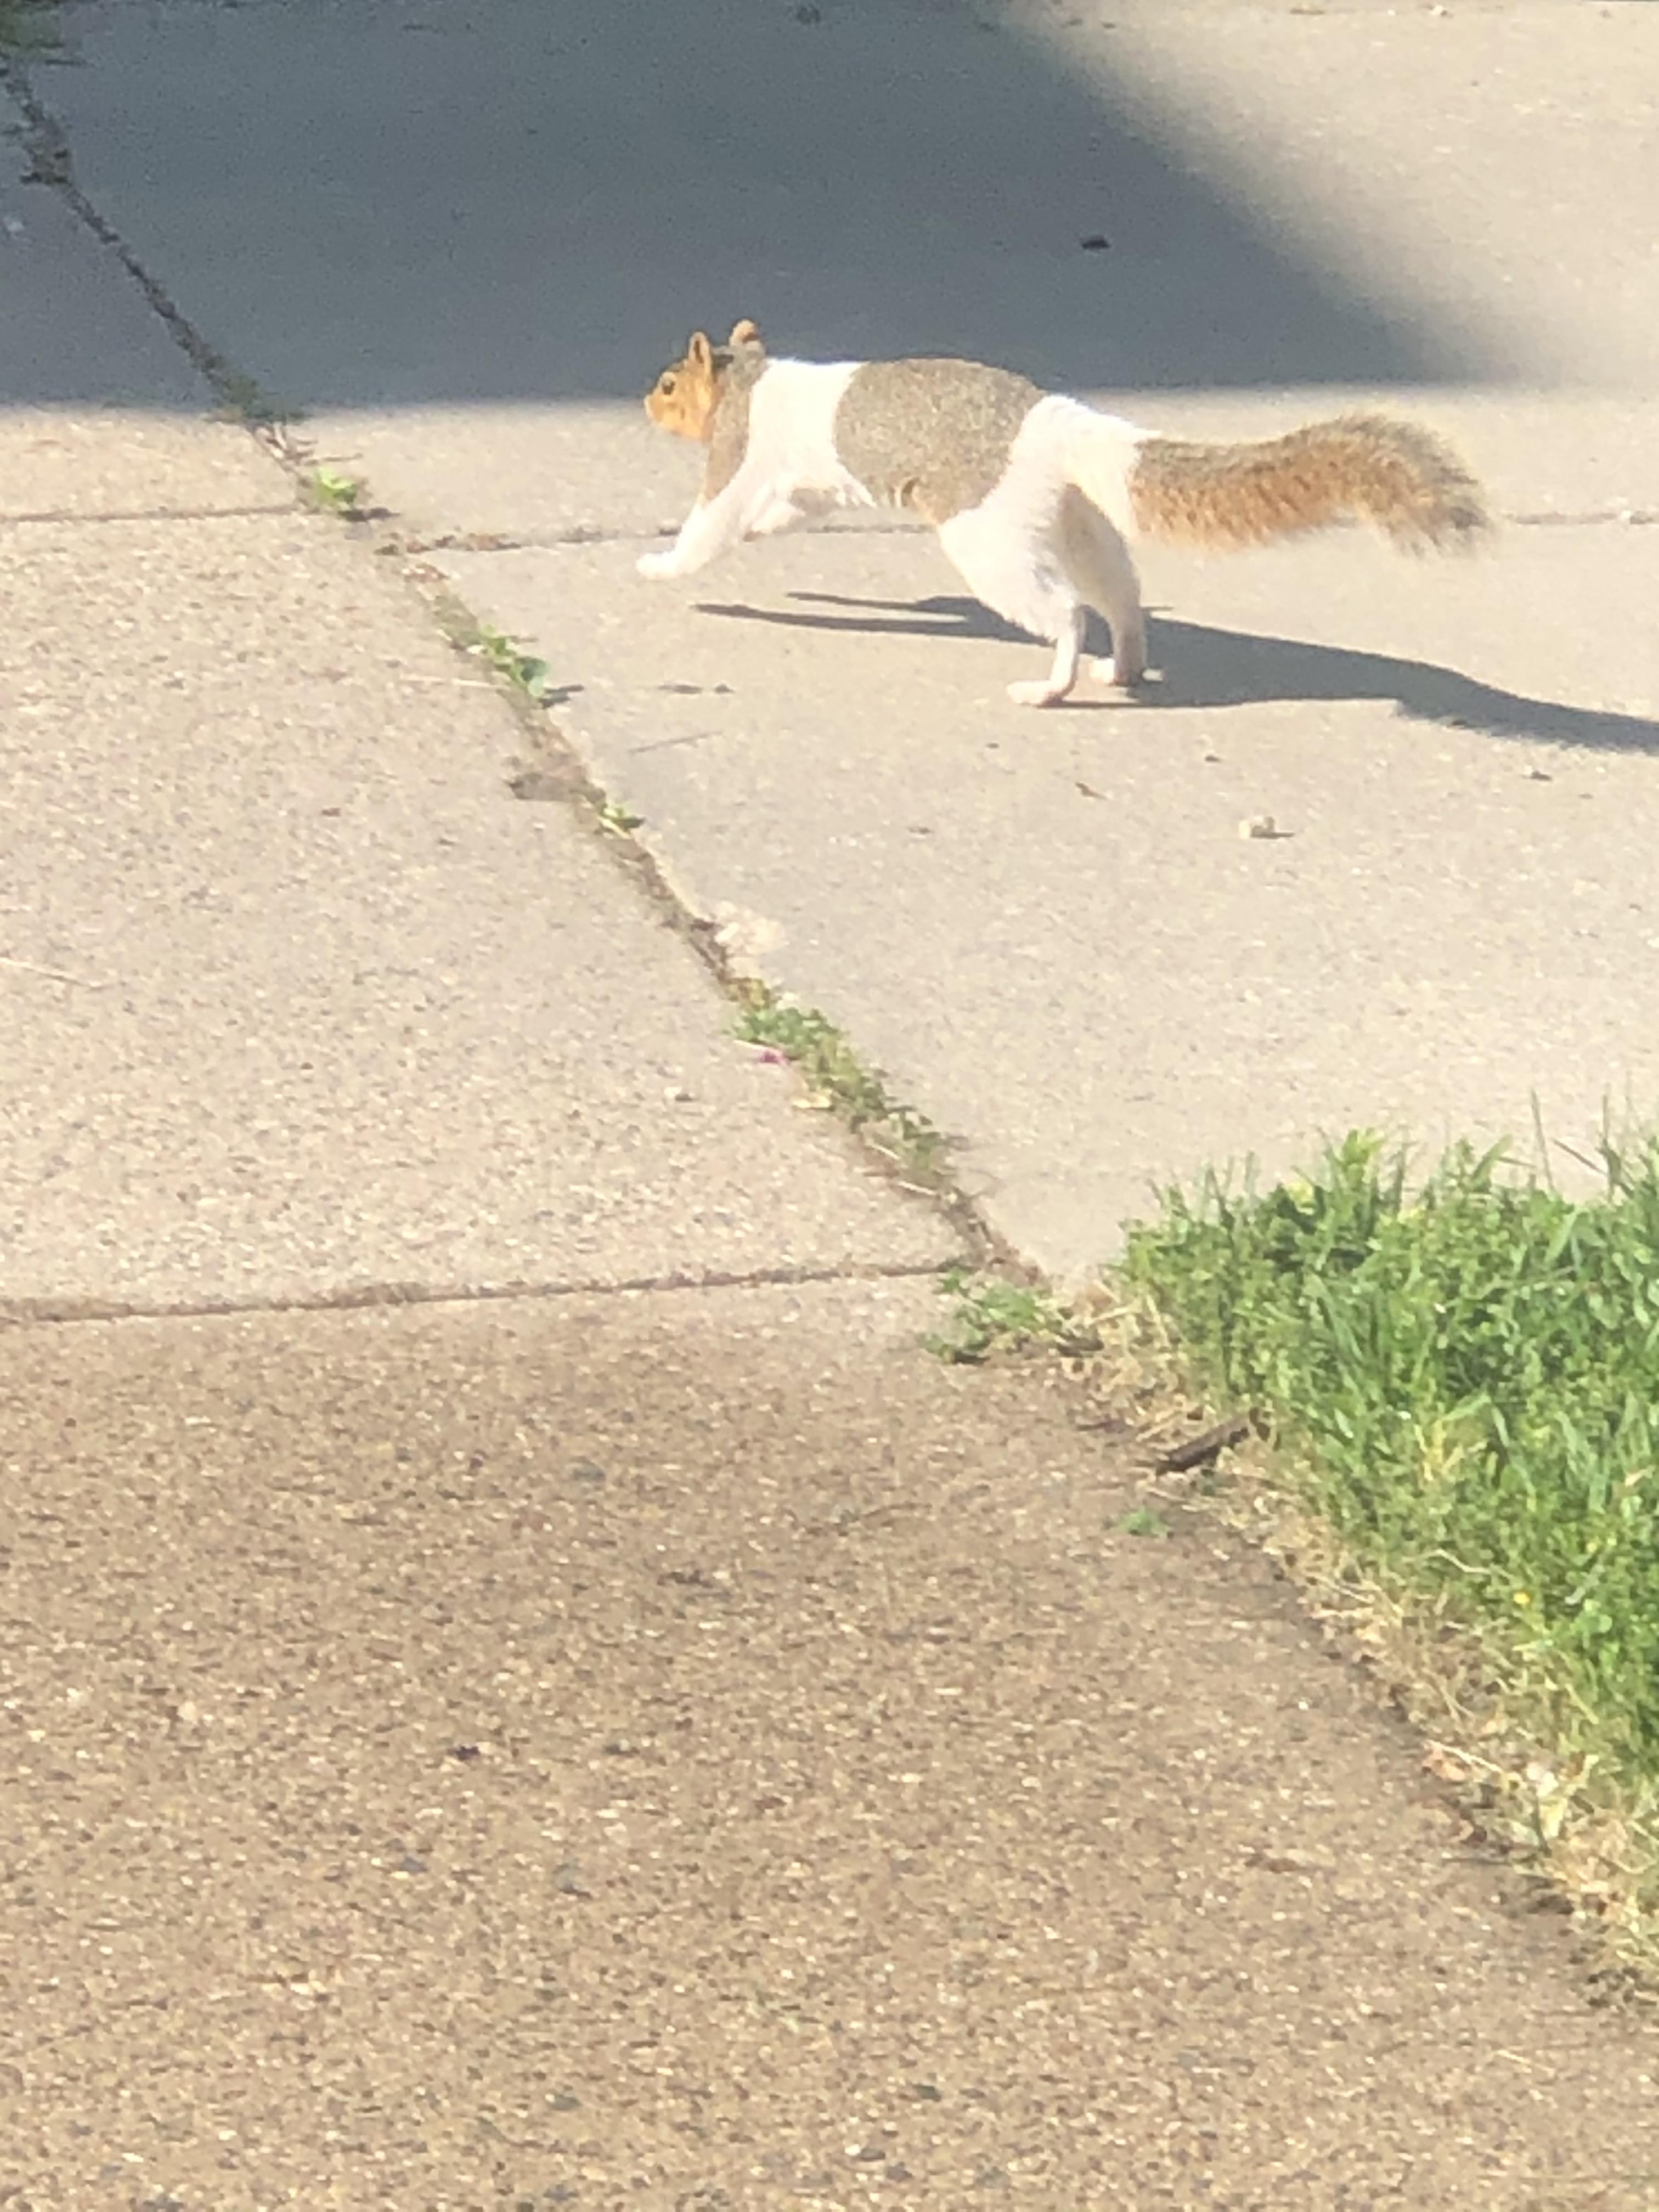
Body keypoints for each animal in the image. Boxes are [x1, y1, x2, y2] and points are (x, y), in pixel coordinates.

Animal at [640, 319, 1490, 707]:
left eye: (671, 385)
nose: (647, 403)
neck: (750, 381)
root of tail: (1054, 425)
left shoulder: (741, 457)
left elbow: (712, 524)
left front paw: (658, 563)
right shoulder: (804, 489)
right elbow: (777, 519)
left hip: (991, 537)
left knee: (1067, 611)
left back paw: (1052, 684)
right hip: (1076, 522)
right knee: (1121, 597)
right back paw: (1126, 665)